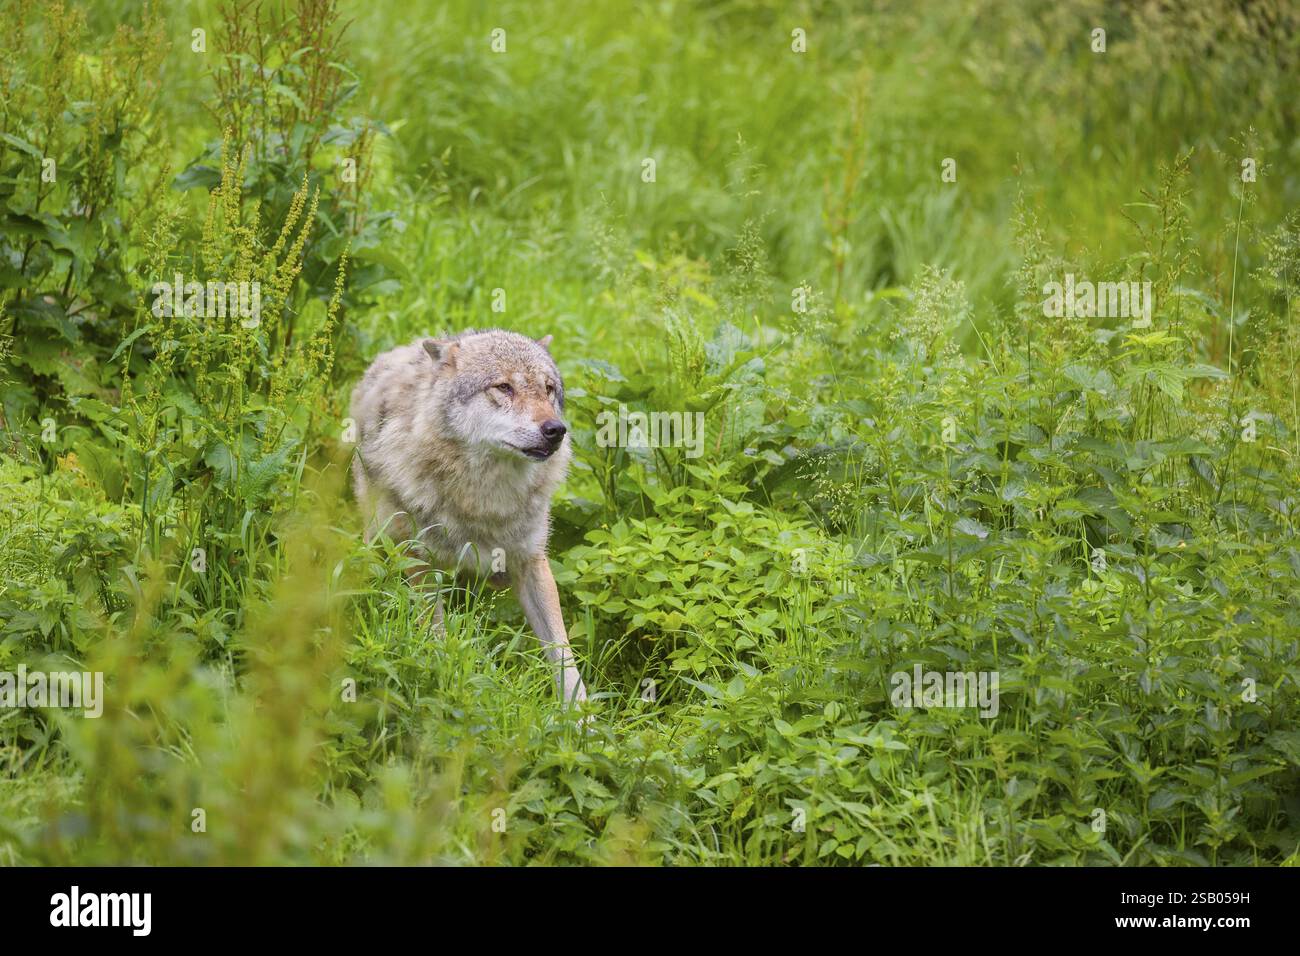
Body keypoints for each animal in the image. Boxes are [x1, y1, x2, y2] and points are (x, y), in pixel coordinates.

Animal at [350, 329, 587, 707]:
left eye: (548, 389)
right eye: (504, 387)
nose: (556, 429)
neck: (485, 500)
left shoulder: (531, 562)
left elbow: (562, 653)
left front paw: (580, 716)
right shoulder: (420, 564)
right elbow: (436, 636)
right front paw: (444, 686)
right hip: (379, 542)